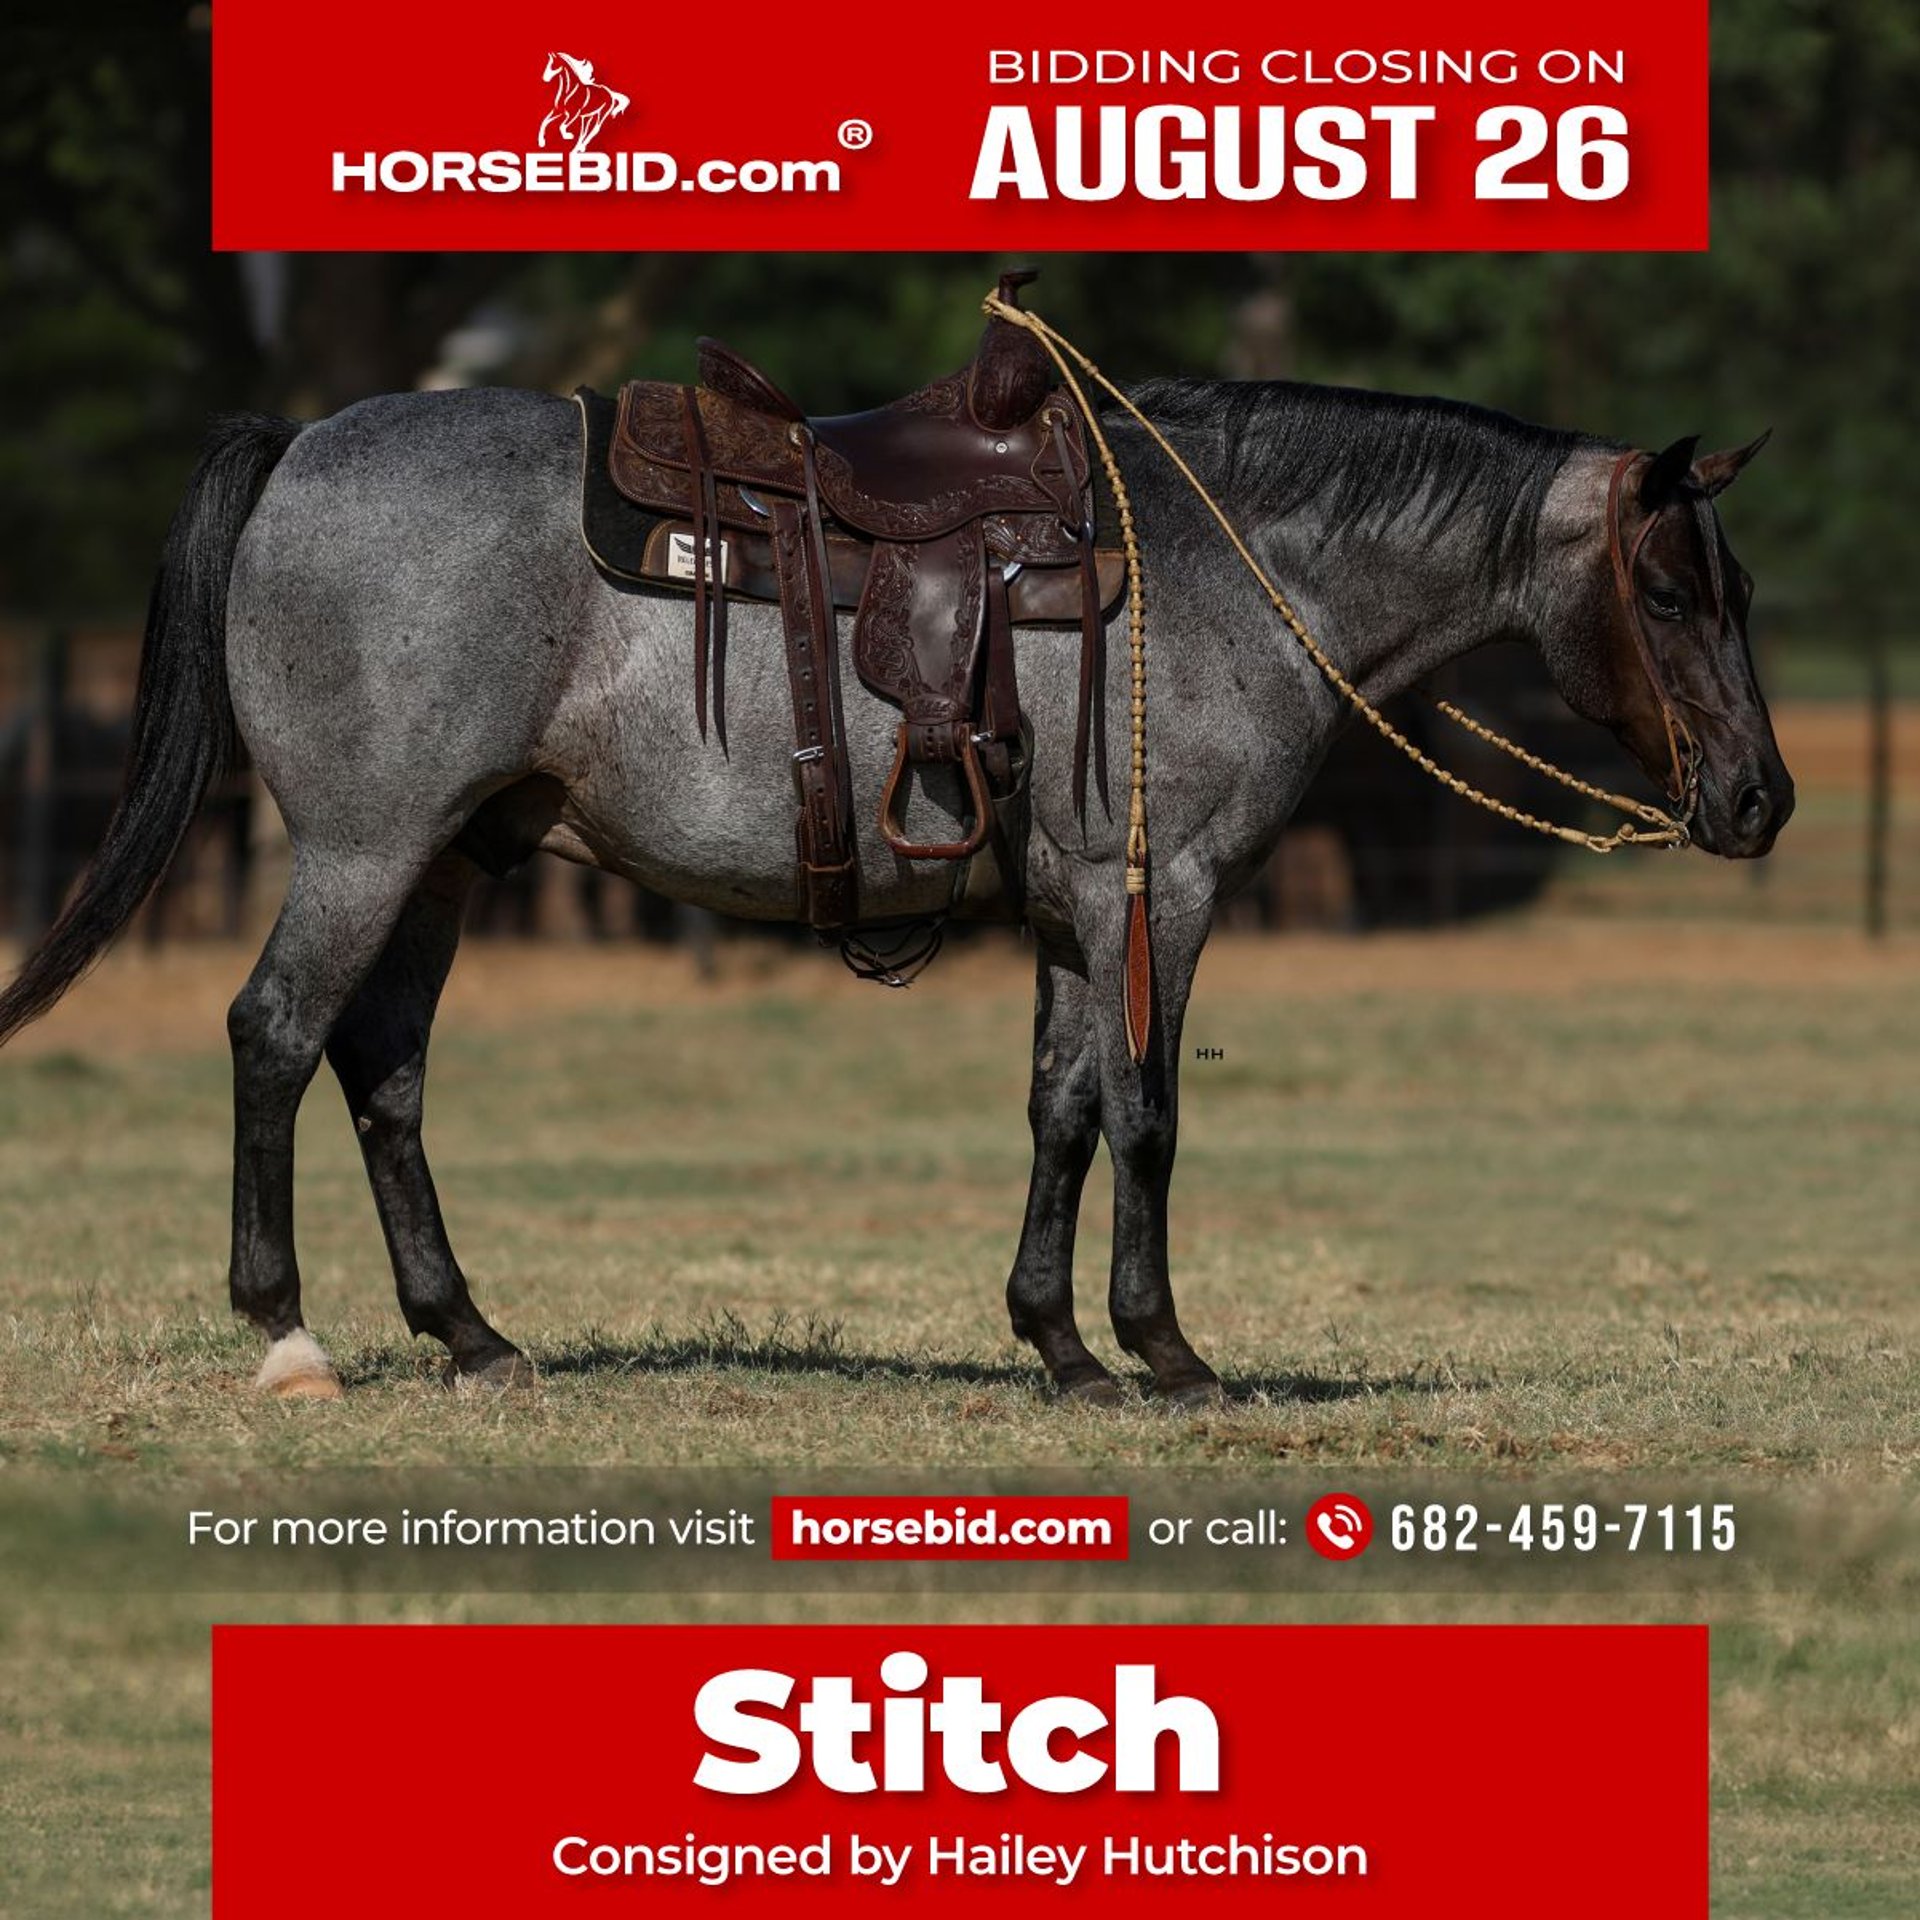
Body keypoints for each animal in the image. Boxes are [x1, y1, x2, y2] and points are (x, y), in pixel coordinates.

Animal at [0, 372, 1791, 1407]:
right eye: (1667, 588)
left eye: (1738, 586)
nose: (1761, 798)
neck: (1217, 571)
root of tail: (301, 441)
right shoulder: (1161, 889)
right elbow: (1149, 1113)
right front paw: (1167, 1350)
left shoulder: (1076, 906)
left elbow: (1064, 1111)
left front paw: (1059, 1343)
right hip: (367, 850)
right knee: (275, 1034)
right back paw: (288, 1334)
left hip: (449, 859)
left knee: (380, 1069)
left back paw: (471, 1334)